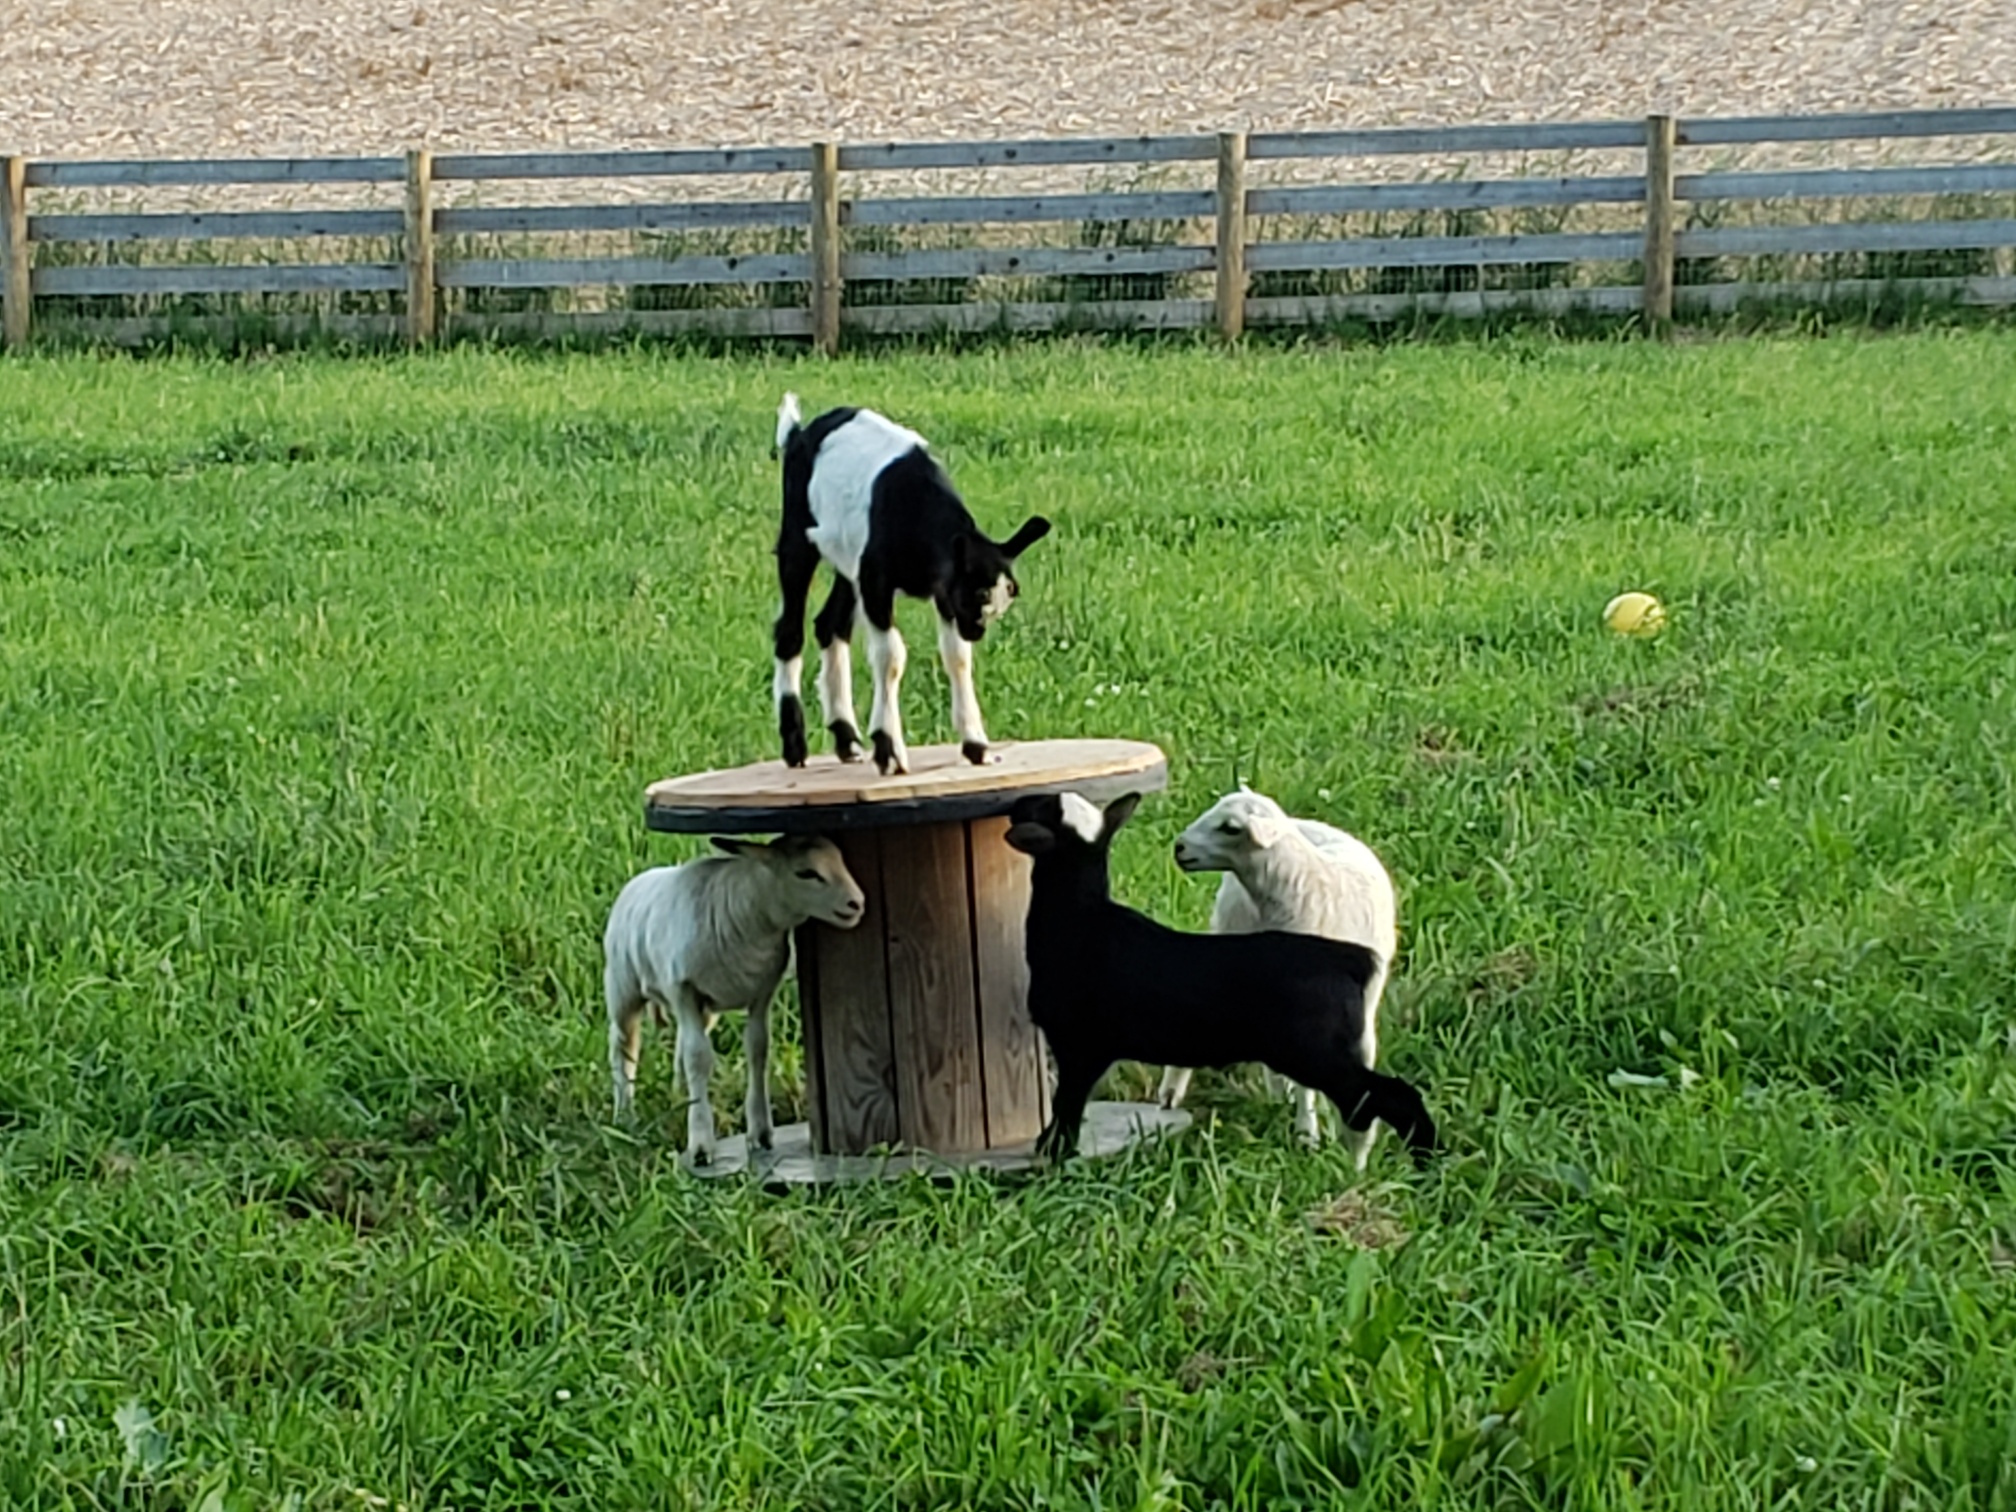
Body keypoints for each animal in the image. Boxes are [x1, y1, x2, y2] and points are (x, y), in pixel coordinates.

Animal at [604, 834, 864, 1164]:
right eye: (806, 873)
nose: (856, 903)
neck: (750, 911)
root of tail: (639, 879)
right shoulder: (682, 988)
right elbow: (698, 1057)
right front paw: (701, 1143)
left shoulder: (762, 990)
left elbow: (757, 1048)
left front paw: (760, 1133)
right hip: (622, 985)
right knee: (624, 1045)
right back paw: (624, 1116)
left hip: (703, 1009)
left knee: (682, 1041)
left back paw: (679, 1095)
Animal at [772, 394, 1050, 776]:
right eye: (979, 592)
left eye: (1009, 595)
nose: (977, 630)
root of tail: (800, 433)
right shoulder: (877, 581)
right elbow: (891, 656)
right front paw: (889, 750)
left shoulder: (942, 593)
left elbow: (957, 656)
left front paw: (976, 744)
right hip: (798, 536)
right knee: (790, 629)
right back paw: (795, 746)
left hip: (848, 560)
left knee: (829, 624)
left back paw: (847, 740)